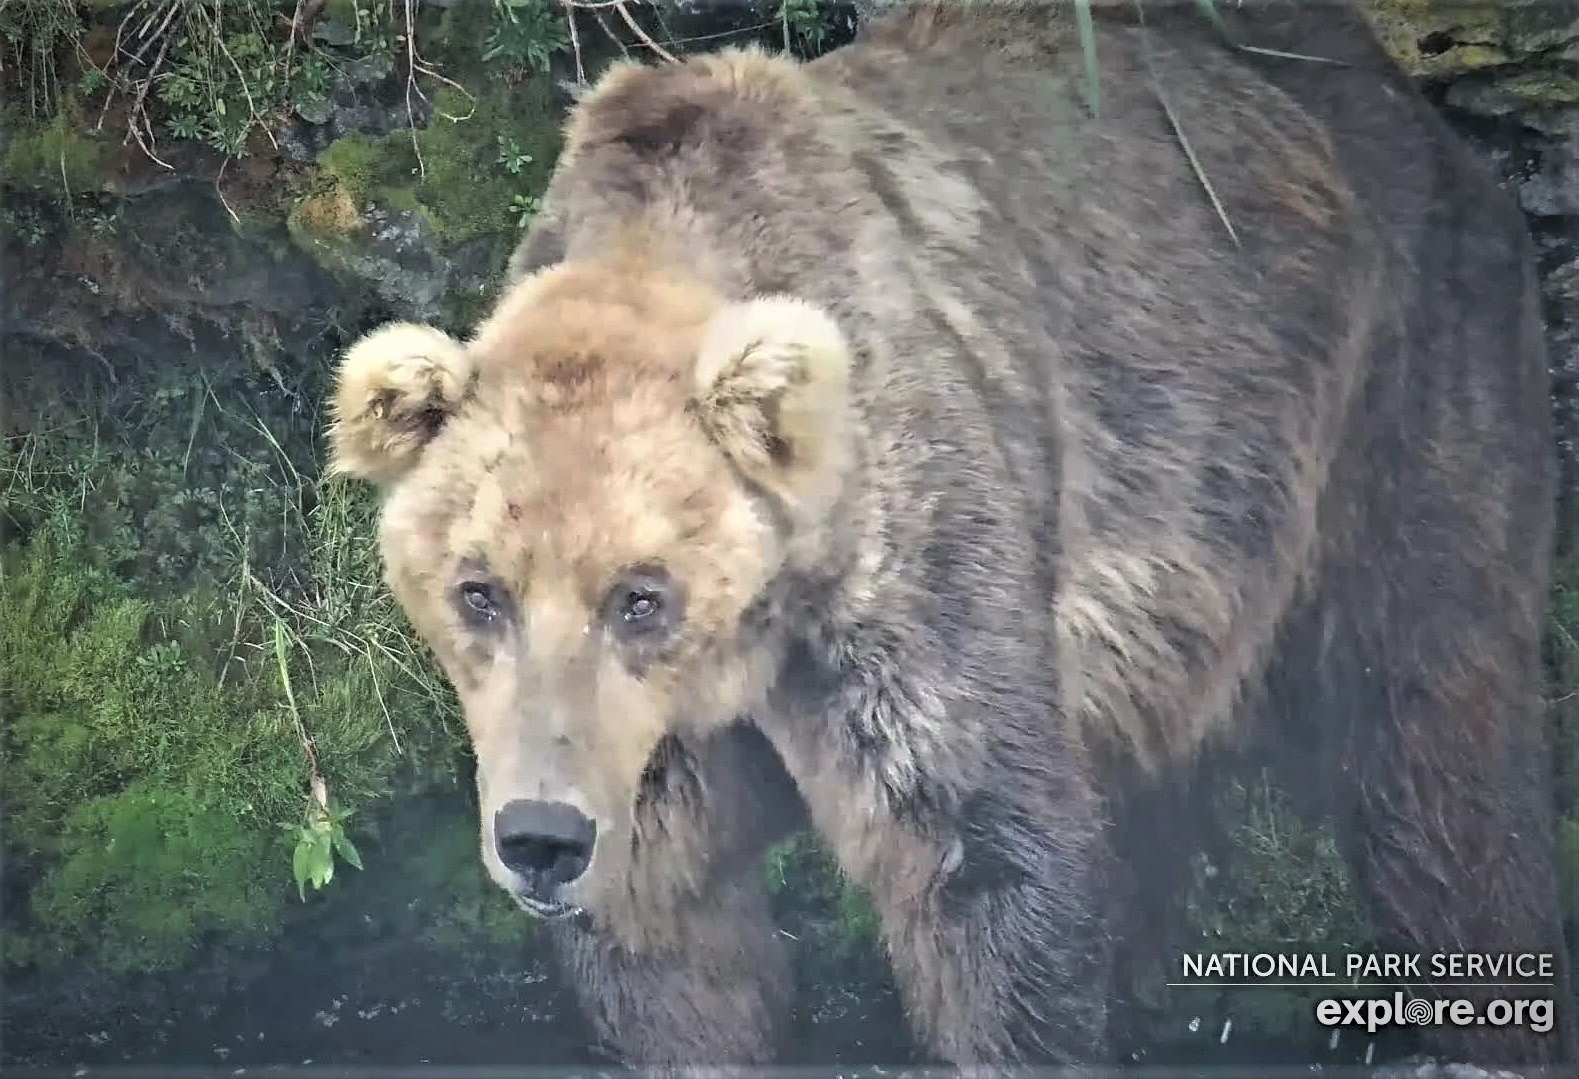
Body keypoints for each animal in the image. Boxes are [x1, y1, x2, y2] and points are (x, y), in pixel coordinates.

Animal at [326, 0, 1571, 1071]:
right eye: (478, 588)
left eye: (641, 592)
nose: (539, 834)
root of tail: (1383, 78)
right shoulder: (655, 756)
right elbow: (670, 936)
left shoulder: (908, 565)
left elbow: (986, 855)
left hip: (1394, 390)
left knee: (1428, 732)